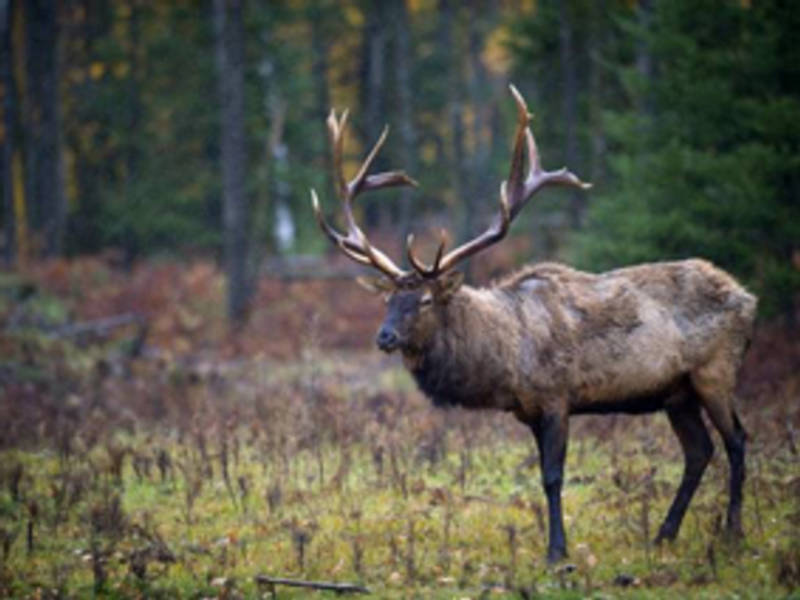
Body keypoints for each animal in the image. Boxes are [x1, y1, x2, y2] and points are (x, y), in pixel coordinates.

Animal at [310, 85, 757, 564]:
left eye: (425, 299)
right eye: (389, 299)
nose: (385, 336)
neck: (507, 361)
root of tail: (749, 298)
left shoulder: (558, 397)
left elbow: (553, 476)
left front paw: (557, 551)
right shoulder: (527, 412)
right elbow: (542, 476)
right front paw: (555, 545)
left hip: (715, 371)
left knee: (736, 440)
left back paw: (733, 532)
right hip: (676, 392)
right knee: (699, 451)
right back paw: (664, 534)